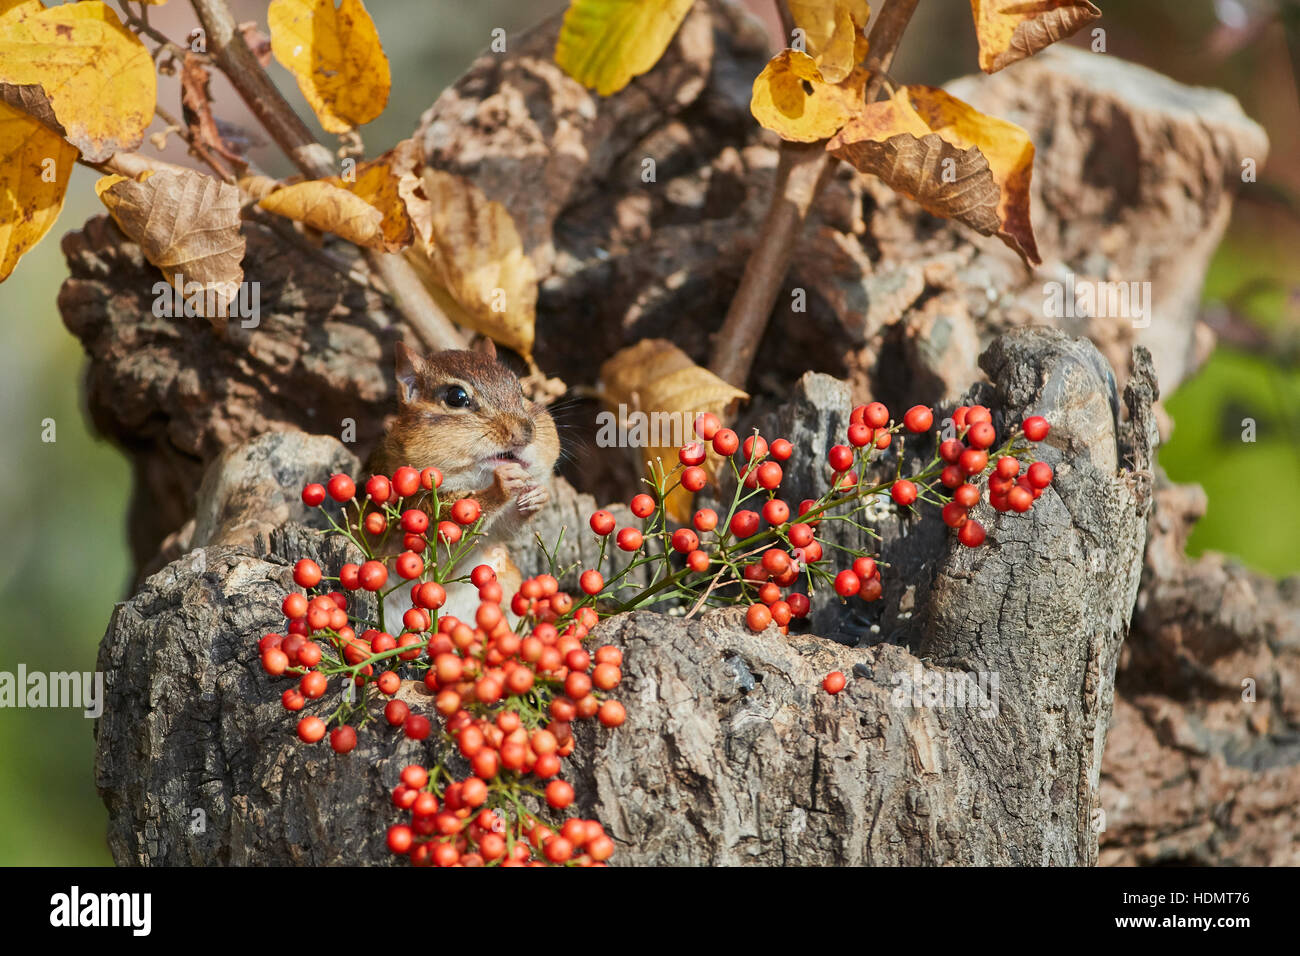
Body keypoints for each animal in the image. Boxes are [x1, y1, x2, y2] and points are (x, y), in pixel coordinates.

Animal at [366, 338, 560, 624]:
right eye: (456, 397)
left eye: (519, 388)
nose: (525, 433)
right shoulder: (416, 506)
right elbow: (452, 522)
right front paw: (501, 487)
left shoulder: (494, 536)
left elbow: (504, 528)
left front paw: (538, 497)